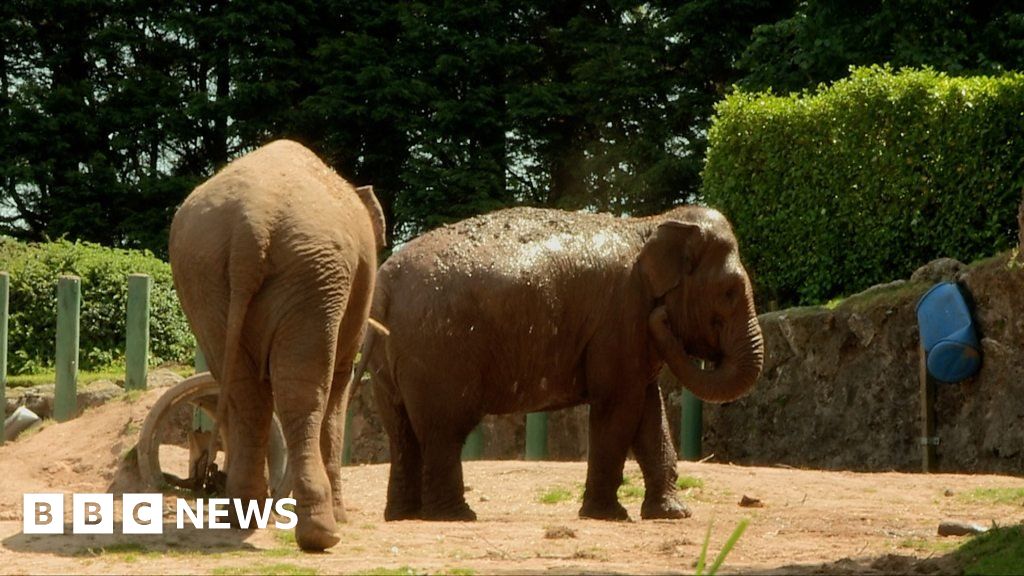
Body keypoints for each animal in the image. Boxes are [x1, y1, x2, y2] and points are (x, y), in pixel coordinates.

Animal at [169, 139, 385, 550]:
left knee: (243, 392)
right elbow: (338, 386)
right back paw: (322, 534)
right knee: (304, 392)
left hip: (203, 276)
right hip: (313, 278)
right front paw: (343, 517)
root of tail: (251, 226)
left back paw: (242, 516)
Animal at [360, 205, 764, 522]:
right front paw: (608, 515)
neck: (651, 225)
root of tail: (384, 285)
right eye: (729, 292)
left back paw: (403, 515)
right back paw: (456, 516)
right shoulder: (620, 318)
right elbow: (618, 407)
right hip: (439, 352)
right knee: (444, 429)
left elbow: (650, 412)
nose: (661, 315)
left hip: (393, 358)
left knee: (401, 429)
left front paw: (673, 514)